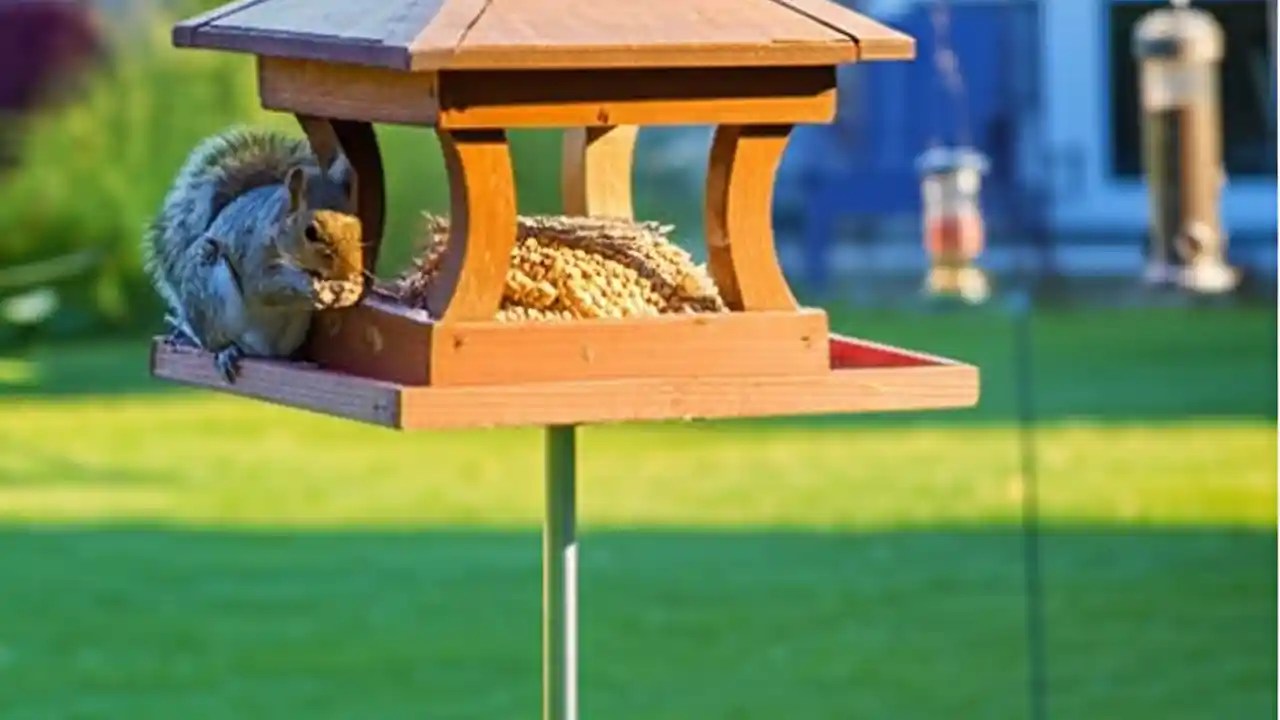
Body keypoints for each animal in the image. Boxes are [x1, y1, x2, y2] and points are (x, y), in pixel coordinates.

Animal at [144, 126, 366, 383]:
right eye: (310, 232)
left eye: (358, 227)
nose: (349, 271)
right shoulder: (254, 255)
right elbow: (265, 286)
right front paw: (308, 287)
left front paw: (352, 289)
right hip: (211, 291)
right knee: (213, 341)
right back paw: (224, 351)